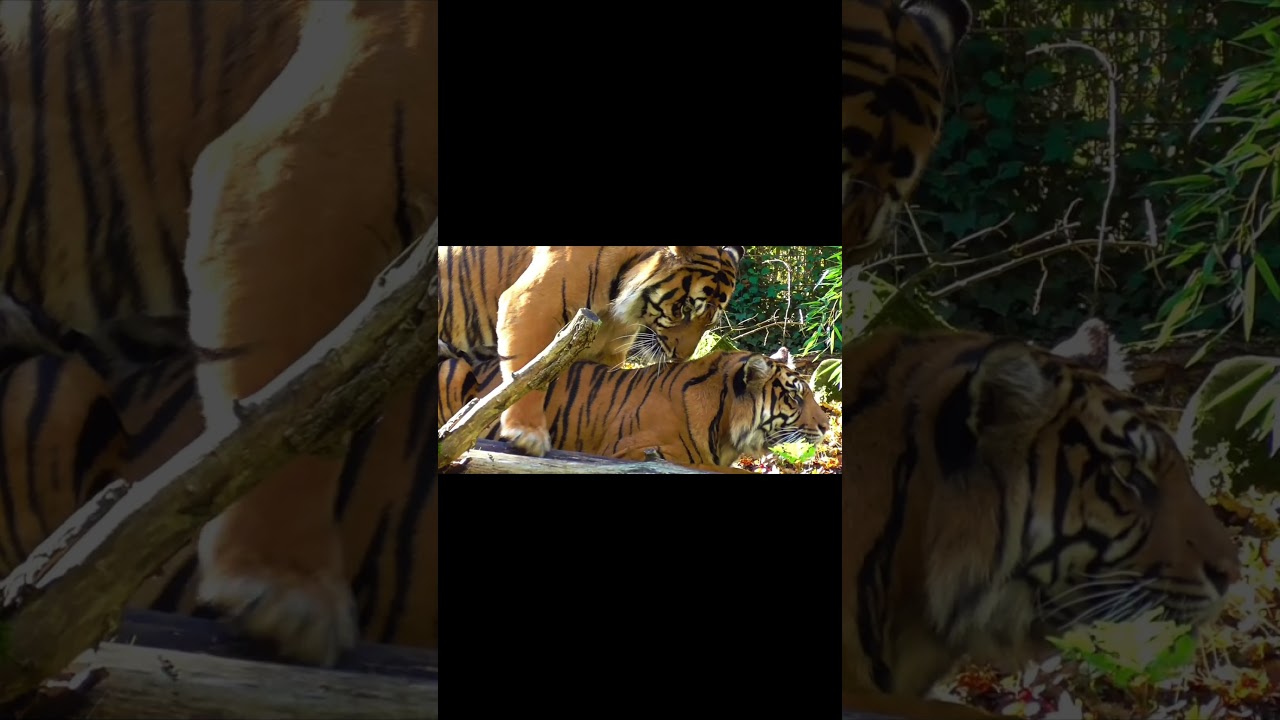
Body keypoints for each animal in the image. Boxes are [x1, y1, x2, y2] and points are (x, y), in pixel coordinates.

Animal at [438, 246, 745, 459]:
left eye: (709, 323)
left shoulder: (604, 349)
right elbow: (526, 377)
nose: (681, 357)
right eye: (684, 309)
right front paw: (527, 434)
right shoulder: (528, 304)